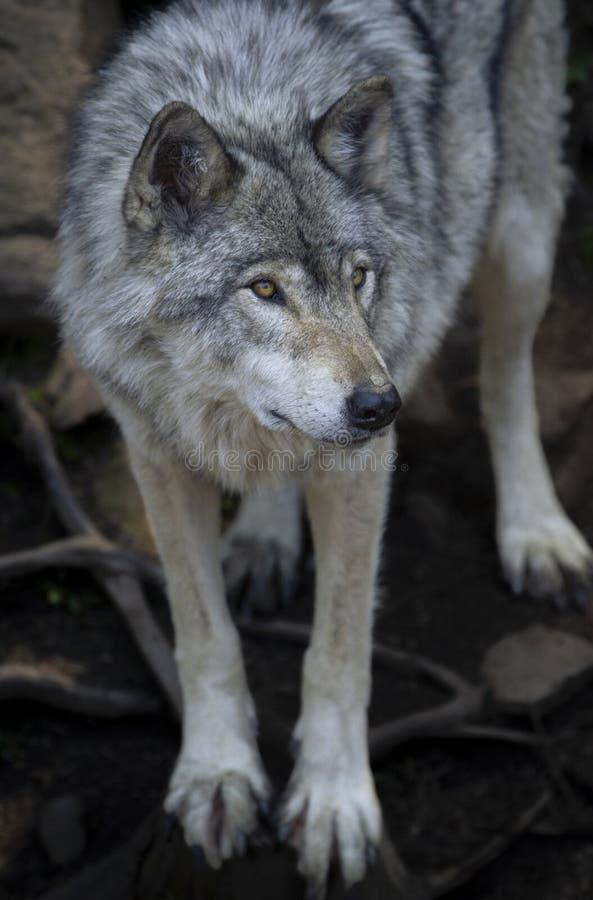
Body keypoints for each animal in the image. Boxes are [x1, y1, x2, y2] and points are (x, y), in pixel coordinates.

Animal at [55, 0, 593, 892]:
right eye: (265, 289)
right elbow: (203, 636)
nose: (382, 403)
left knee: (507, 379)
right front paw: (218, 776)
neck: (252, 99)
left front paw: (334, 802)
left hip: (519, 233)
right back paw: (265, 537)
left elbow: (337, 652)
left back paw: (534, 532)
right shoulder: (154, 449)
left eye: (357, 278)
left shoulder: (360, 467)